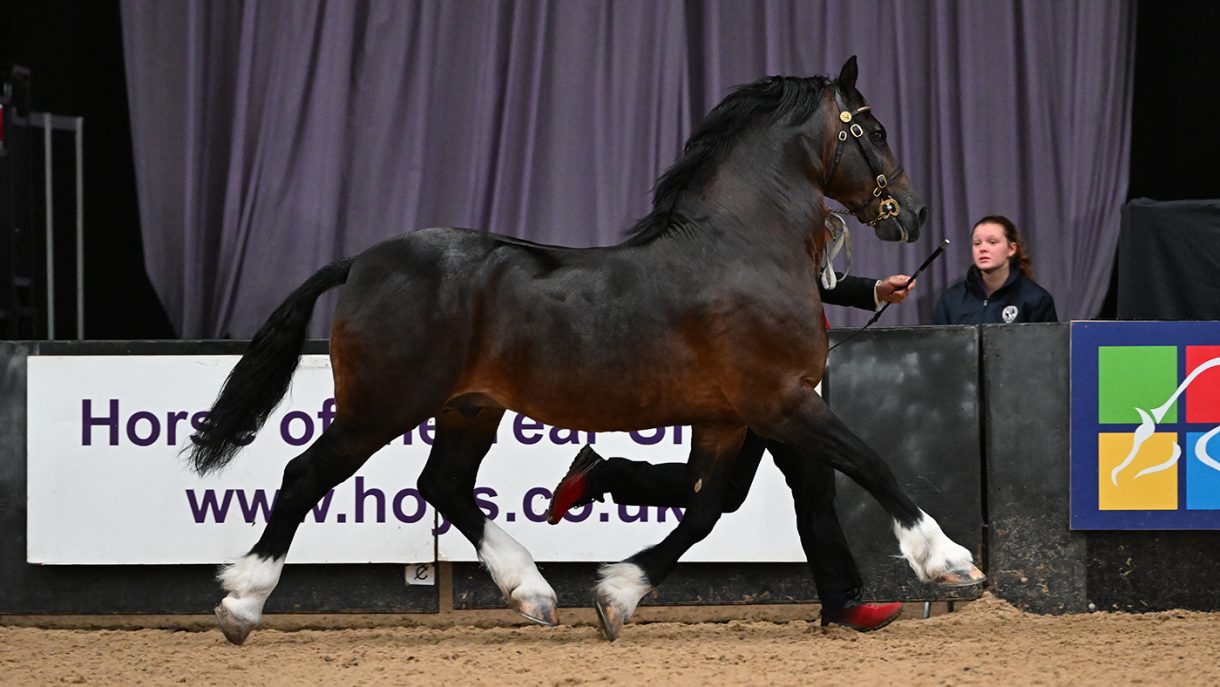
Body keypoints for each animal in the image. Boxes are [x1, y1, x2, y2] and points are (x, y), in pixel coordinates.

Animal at [188, 56, 983, 645]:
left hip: (470, 407)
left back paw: (532, 590)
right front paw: (950, 564)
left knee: (442, 485)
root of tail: (361, 260)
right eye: (874, 128)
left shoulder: (730, 418)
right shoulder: (781, 400)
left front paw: (618, 593)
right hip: (380, 406)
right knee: (304, 475)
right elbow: (871, 465)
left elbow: (706, 507)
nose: (914, 213)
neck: (741, 248)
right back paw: (242, 602)